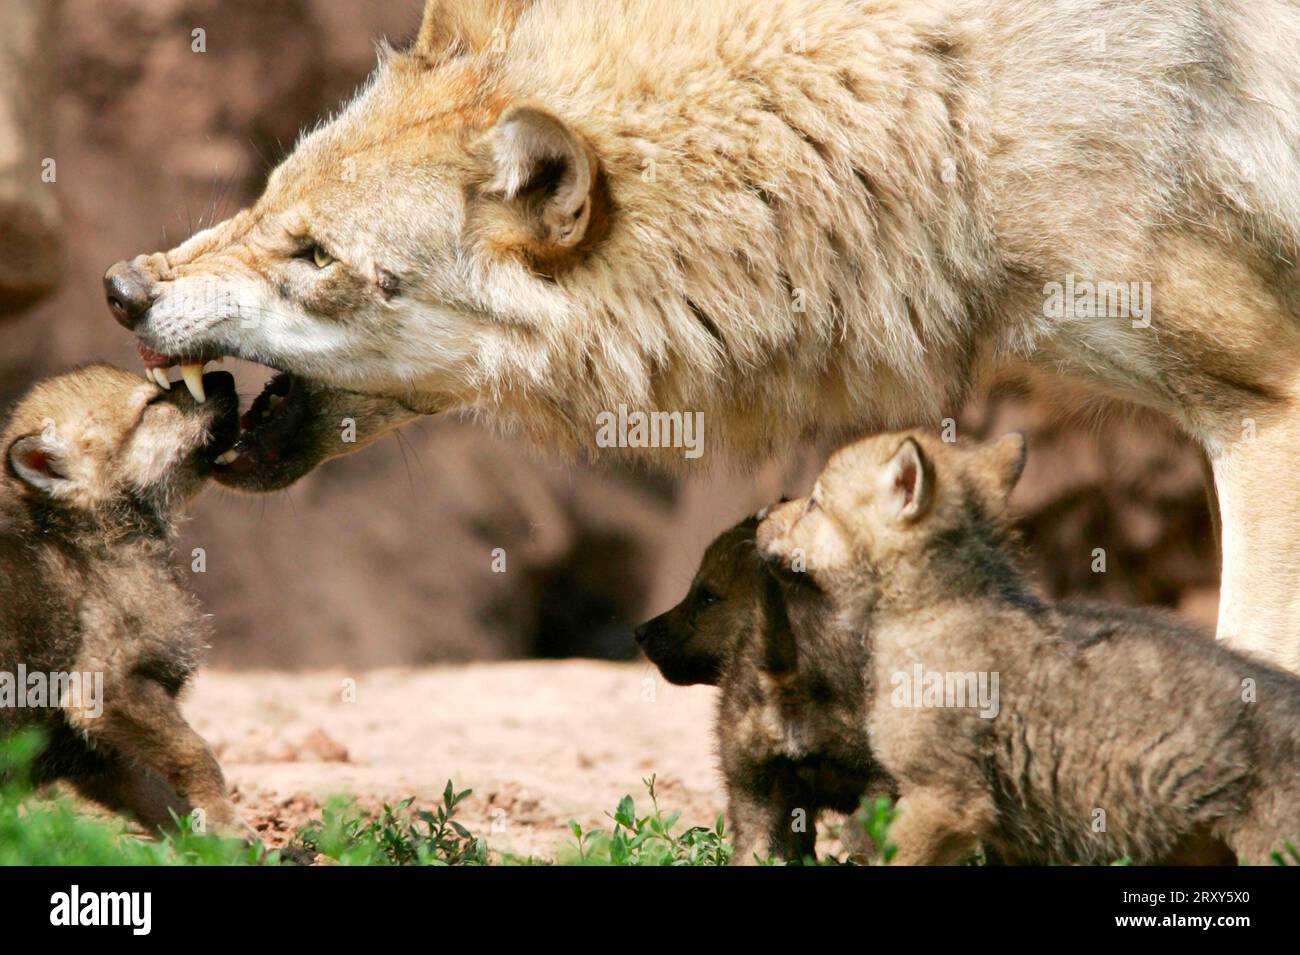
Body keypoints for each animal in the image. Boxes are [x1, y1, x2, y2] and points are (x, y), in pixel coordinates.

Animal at [0, 363, 249, 836]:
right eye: (152, 404)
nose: (225, 374)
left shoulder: (97, 755)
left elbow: (164, 800)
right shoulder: (107, 689)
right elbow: (196, 755)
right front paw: (229, 825)